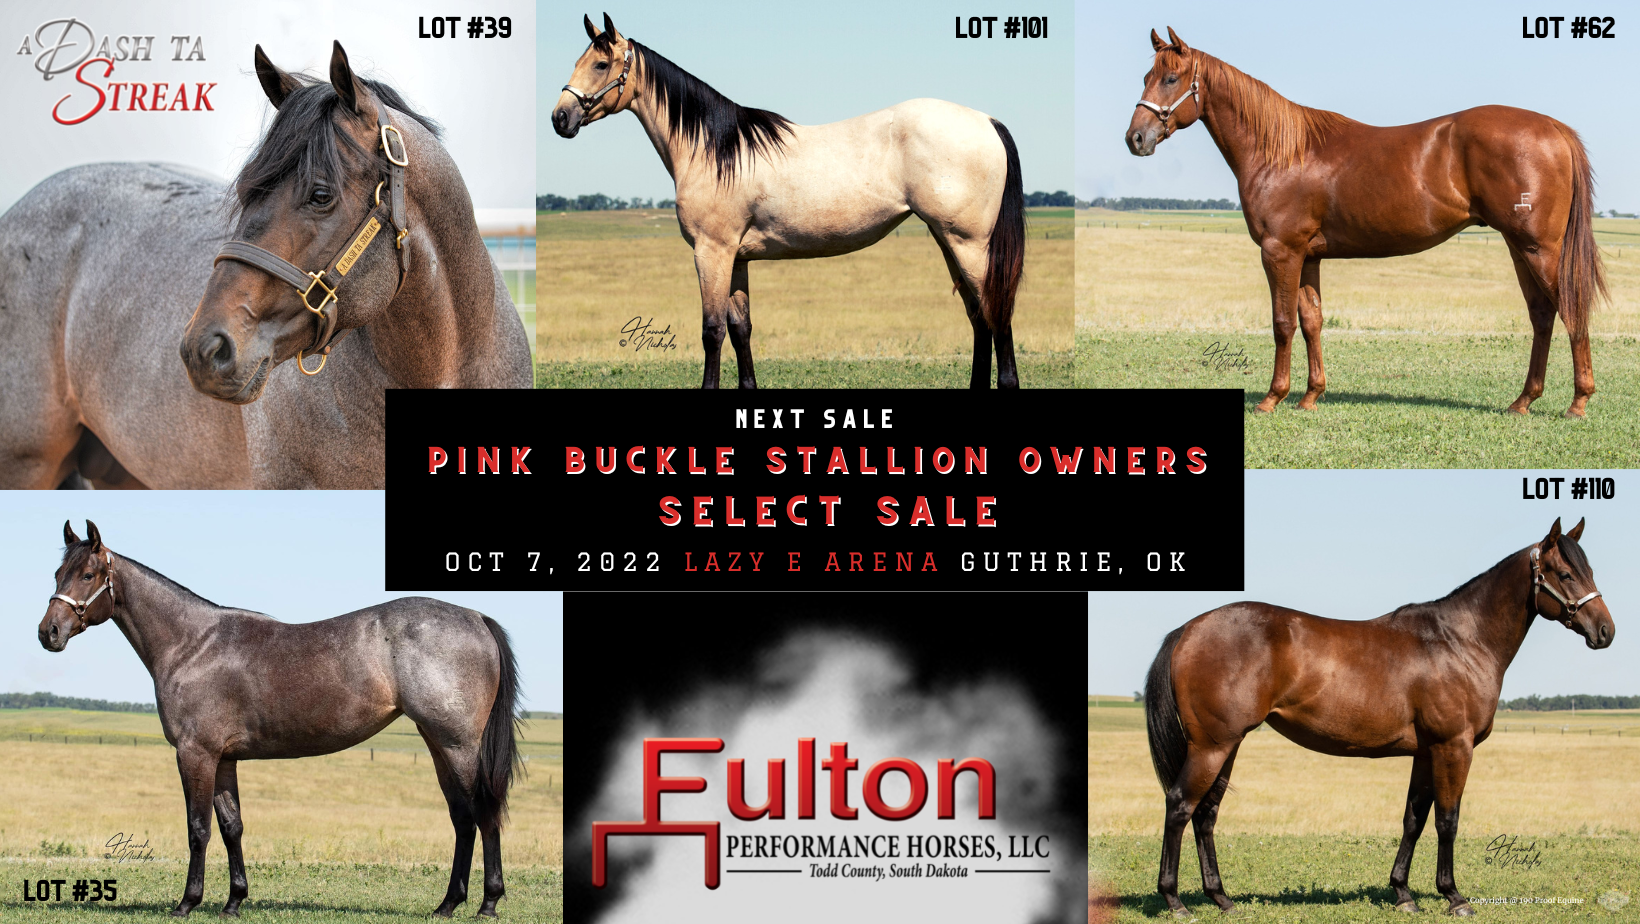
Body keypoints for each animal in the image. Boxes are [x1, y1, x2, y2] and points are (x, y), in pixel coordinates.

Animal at [36, 521, 522, 918]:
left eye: (87, 575)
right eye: (58, 575)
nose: (48, 633)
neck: (193, 645)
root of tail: (475, 617)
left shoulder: (196, 754)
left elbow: (198, 829)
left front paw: (187, 902)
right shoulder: (224, 759)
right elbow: (231, 826)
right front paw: (234, 901)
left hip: (458, 745)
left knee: (483, 813)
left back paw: (487, 903)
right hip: (437, 744)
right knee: (462, 818)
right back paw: (448, 904)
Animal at [551, 13, 1026, 389]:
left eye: (600, 64)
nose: (560, 118)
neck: (715, 150)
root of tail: (987, 121)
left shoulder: (711, 253)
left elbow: (711, 331)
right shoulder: (736, 258)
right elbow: (740, 329)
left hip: (969, 244)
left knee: (996, 315)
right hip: (950, 242)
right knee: (978, 317)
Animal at [1126, 28, 1608, 417]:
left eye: (1170, 79)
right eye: (1146, 76)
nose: (1136, 138)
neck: (1282, 152)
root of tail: (1554, 128)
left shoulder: (1280, 251)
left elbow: (1282, 323)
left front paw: (1272, 398)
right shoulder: (1308, 257)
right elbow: (1311, 321)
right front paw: (1311, 396)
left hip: (1538, 248)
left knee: (1569, 309)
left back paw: (1578, 402)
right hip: (1518, 247)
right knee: (1543, 314)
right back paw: (1523, 401)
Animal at [1143, 517, 1614, 916]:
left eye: (1589, 571)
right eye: (1566, 574)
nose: (1606, 631)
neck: (1460, 641)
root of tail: (1188, 630)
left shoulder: (1425, 752)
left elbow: (1413, 820)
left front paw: (1403, 894)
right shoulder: (1454, 747)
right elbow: (1447, 821)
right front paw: (1454, 896)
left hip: (1228, 745)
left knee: (1206, 814)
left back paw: (1221, 898)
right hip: (1212, 746)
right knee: (1180, 806)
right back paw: (1175, 901)